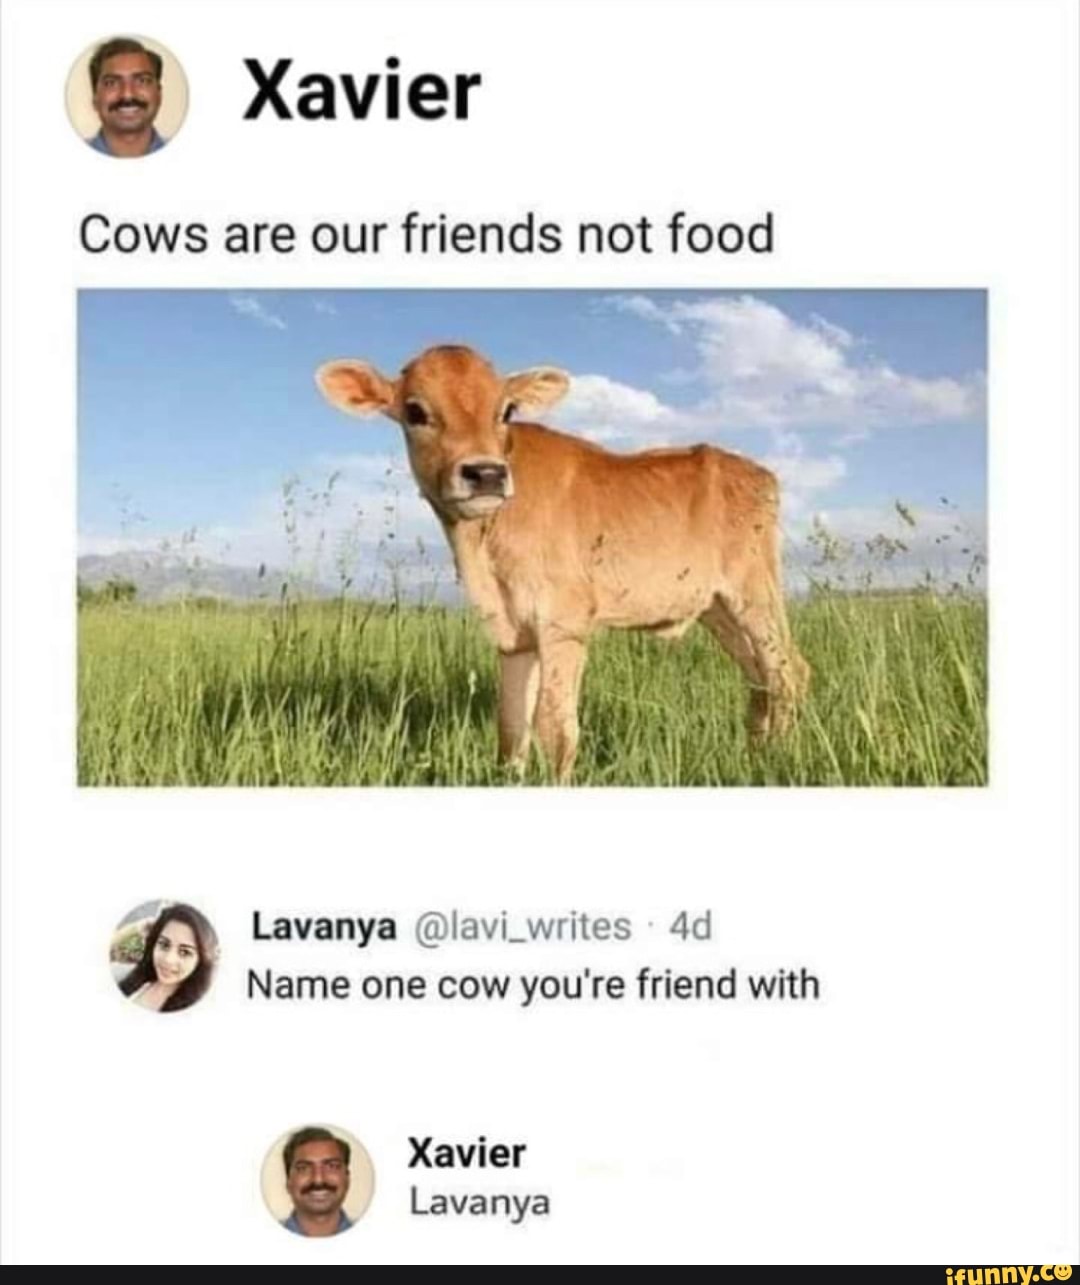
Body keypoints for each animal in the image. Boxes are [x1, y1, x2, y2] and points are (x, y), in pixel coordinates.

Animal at [316, 344, 809, 780]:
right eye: (416, 411)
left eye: (506, 410)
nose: (486, 474)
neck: (483, 548)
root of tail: (757, 472)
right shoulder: (513, 635)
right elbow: (511, 728)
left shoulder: (563, 622)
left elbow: (556, 729)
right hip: (716, 607)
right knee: (760, 679)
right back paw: (753, 756)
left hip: (755, 591)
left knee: (788, 671)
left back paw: (777, 758)